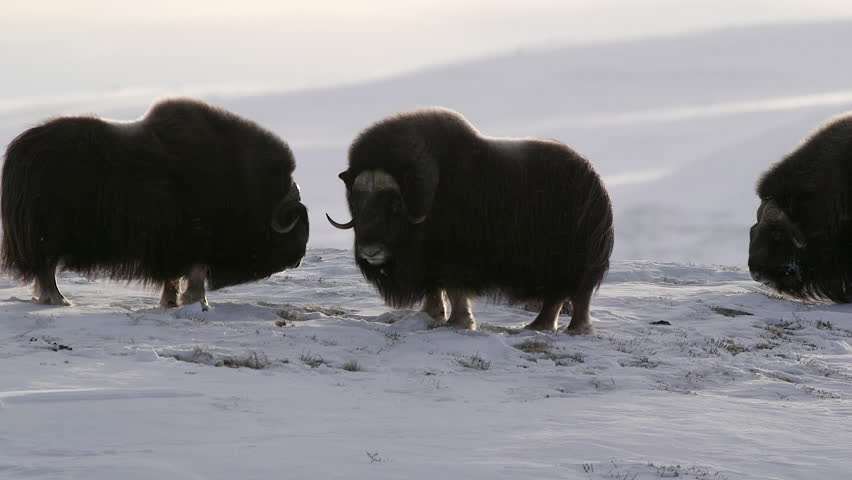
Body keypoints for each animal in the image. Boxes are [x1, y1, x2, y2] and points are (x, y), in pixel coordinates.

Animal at [1, 98, 309, 308]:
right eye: (296, 222)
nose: (299, 258)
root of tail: (20, 152)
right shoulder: (192, 243)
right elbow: (194, 274)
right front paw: (198, 302)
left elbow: (173, 278)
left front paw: (171, 302)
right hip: (46, 235)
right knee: (46, 269)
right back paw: (59, 299)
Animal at [327, 107, 614, 333]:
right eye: (356, 203)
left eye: (395, 205)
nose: (370, 251)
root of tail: (594, 178)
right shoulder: (429, 263)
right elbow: (434, 289)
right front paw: (430, 315)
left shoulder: (455, 259)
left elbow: (455, 290)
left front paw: (459, 323)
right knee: (555, 297)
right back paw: (536, 327)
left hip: (575, 262)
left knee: (579, 295)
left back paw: (573, 330)